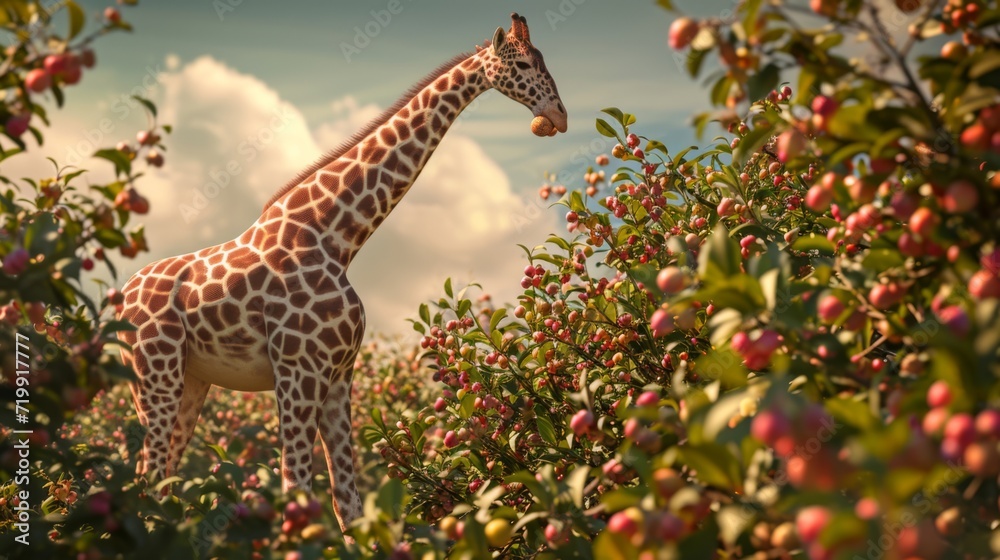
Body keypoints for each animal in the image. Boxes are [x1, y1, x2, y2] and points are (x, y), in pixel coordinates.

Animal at [116, 13, 566, 533]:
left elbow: (346, 505)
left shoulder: (337, 376)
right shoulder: (298, 371)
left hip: (188, 379)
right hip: (156, 372)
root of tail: (120, 298)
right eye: (526, 63)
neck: (337, 238)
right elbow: (297, 492)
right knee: (147, 476)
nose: (560, 116)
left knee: (160, 478)